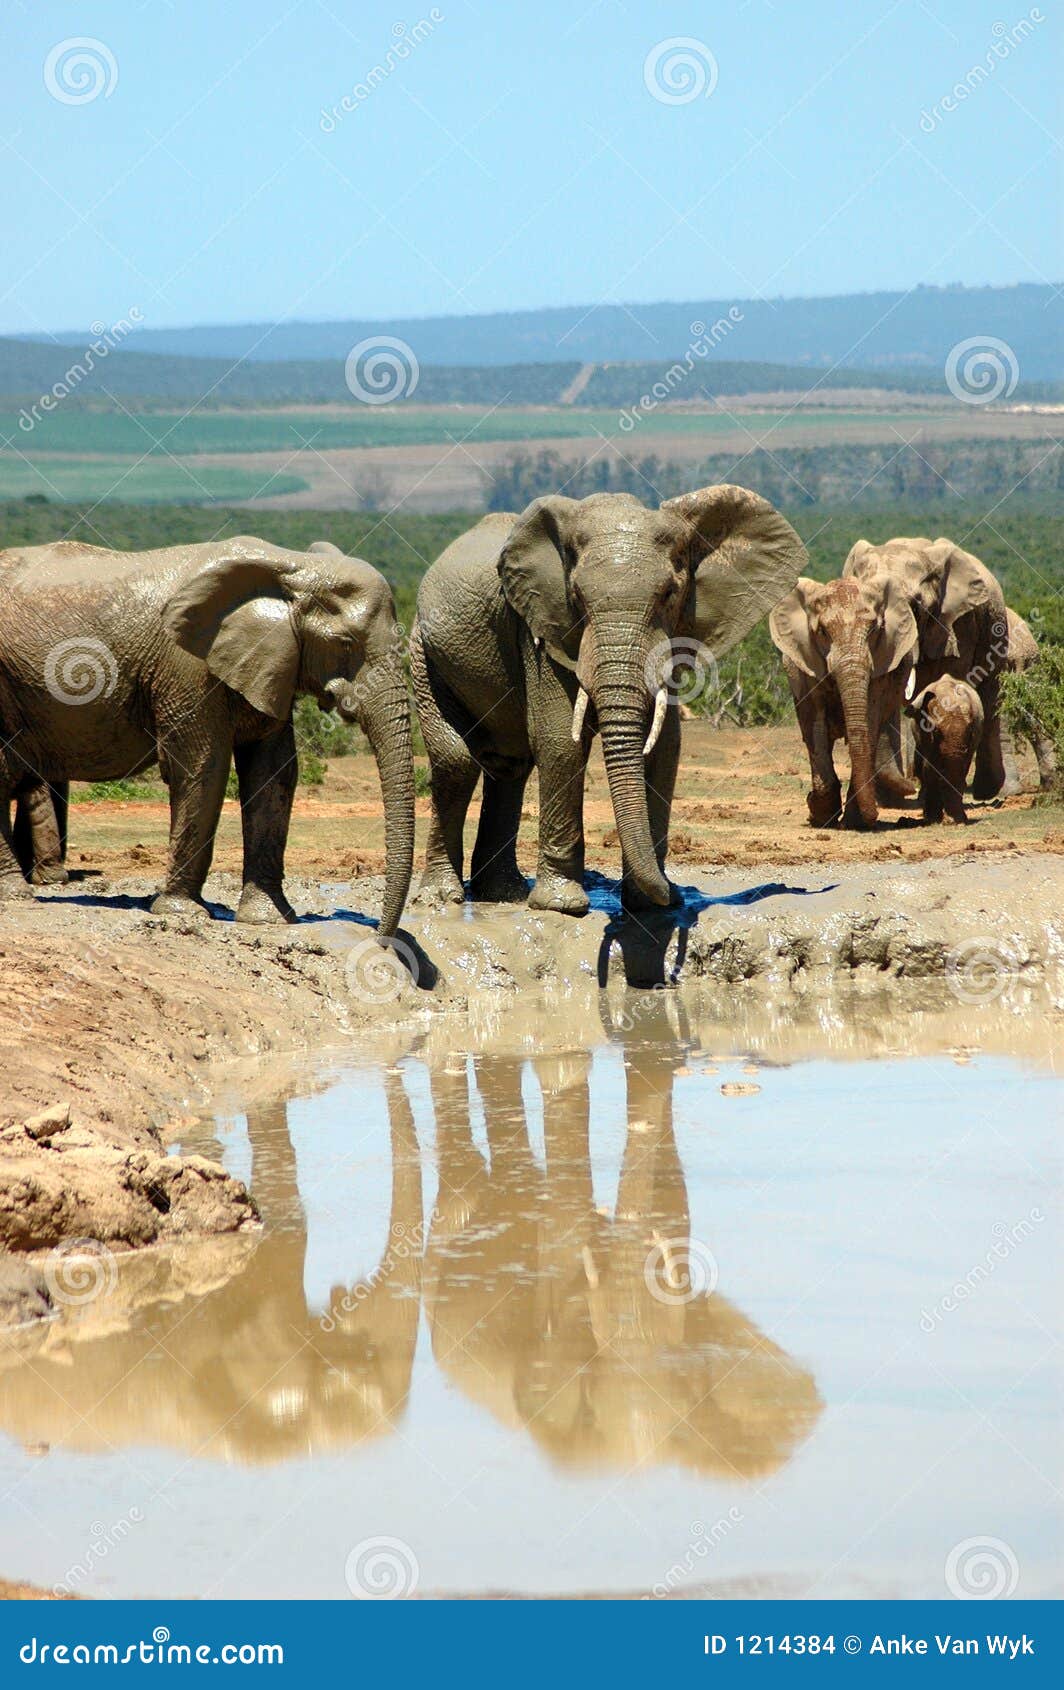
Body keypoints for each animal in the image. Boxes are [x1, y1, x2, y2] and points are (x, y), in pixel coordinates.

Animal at [0, 537, 414, 932]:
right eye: (345, 643)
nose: (380, 936)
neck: (291, 564)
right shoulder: (187, 668)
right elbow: (203, 767)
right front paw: (183, 913)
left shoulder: (271, 665)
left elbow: (273, 775)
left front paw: (270, 920)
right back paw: (16, 893)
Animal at [411, 484, 806, 914]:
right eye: (577, 597)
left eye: (669, 594)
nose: (676, 894)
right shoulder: (539, 627)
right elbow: (559, 742)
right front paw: (562, 906)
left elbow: (664, 747)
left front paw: (647, 905)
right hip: (423, 652)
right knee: (458, 761)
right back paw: (443, 898)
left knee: (509, 766)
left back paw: (504, 895)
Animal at [768, 573, 918, 828]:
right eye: (822, 632)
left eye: (874, 630)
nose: (873, 817)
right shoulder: (808, 666)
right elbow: (816, 728)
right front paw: (818, 814)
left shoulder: (880, 668)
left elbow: (869, 724)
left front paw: (854, 823)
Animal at [843, 535, 1008, 800]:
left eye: (915, 608)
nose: (909, 787)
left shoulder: (958, 625)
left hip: (996, 630)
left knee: (990, 696)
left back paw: (986, 792)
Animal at [905, 676, 983, 824]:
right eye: (935, 731)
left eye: (970, 730)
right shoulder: (925, 736)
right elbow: (930, 769)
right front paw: (934, 819)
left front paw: (955, 821)